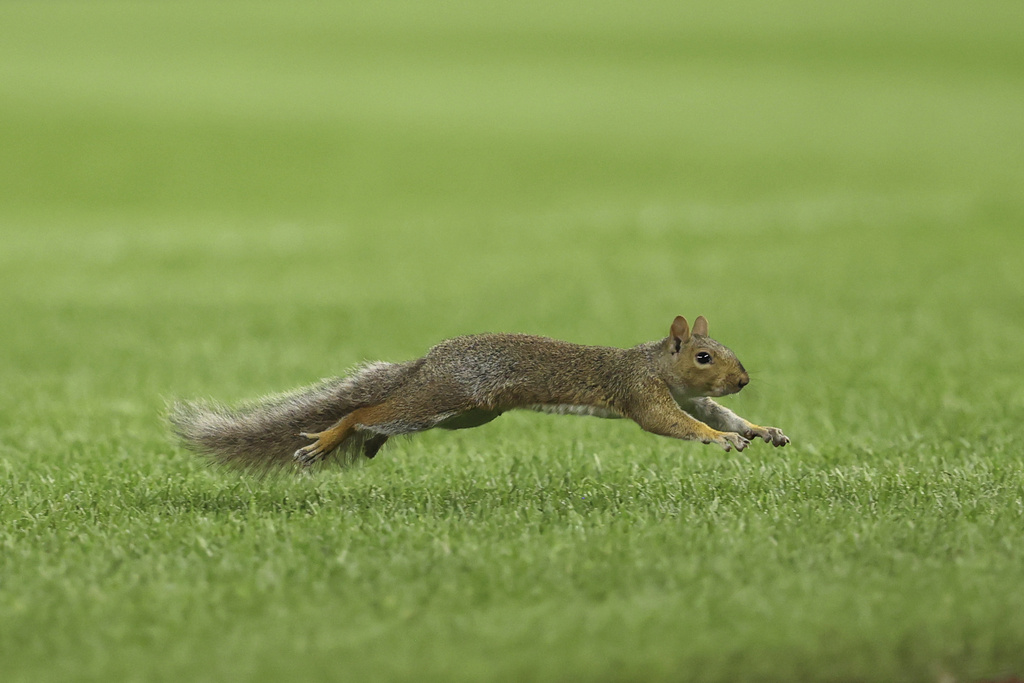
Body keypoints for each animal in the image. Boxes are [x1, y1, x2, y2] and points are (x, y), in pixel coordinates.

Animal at [170, 315, 789, 472]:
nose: (744, 380)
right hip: (440, 399)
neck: (657, 365)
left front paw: (762, 429)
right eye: (703, 356)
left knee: (377, 420)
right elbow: (678, 425)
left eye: (726, 350)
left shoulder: (693, 397)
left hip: (464, 415)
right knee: (368, 409)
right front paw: (719, 442)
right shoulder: (643, 393)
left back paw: (367, 444)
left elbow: (722, 415)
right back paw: (331, 438)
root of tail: (429, 361)